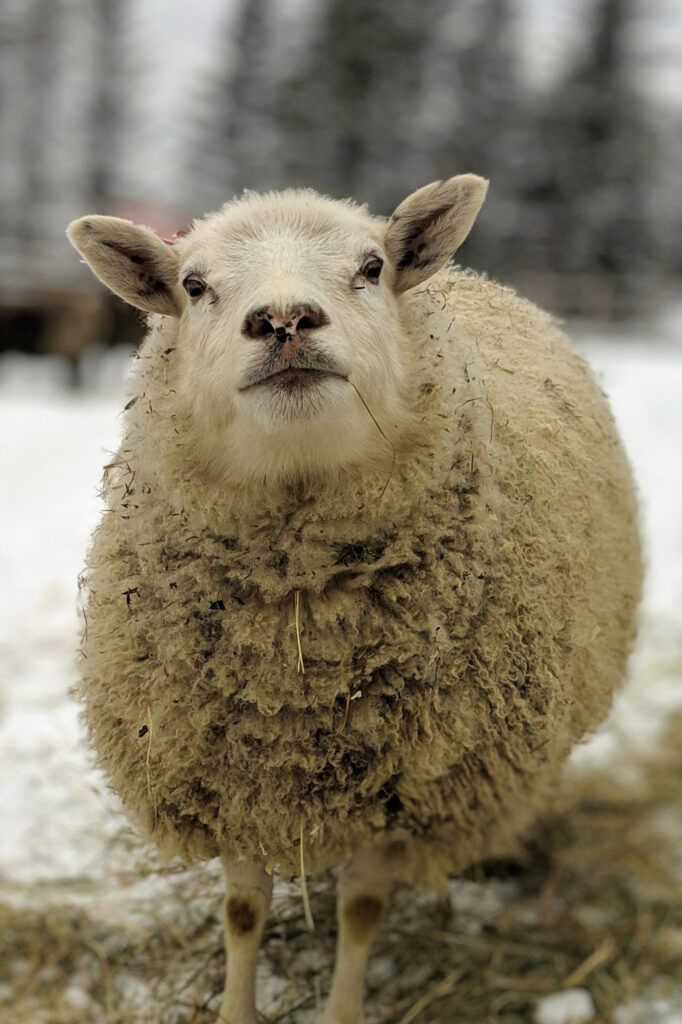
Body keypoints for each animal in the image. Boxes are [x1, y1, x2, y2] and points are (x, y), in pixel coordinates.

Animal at [67, 176, 642, 1024]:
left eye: (372, 267)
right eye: (194, 286)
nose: (282, 320)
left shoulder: (413, 795)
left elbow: (363, 909)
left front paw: (342, 1008)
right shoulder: (229, 779)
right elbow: (243, 912)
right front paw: (237, 1008)